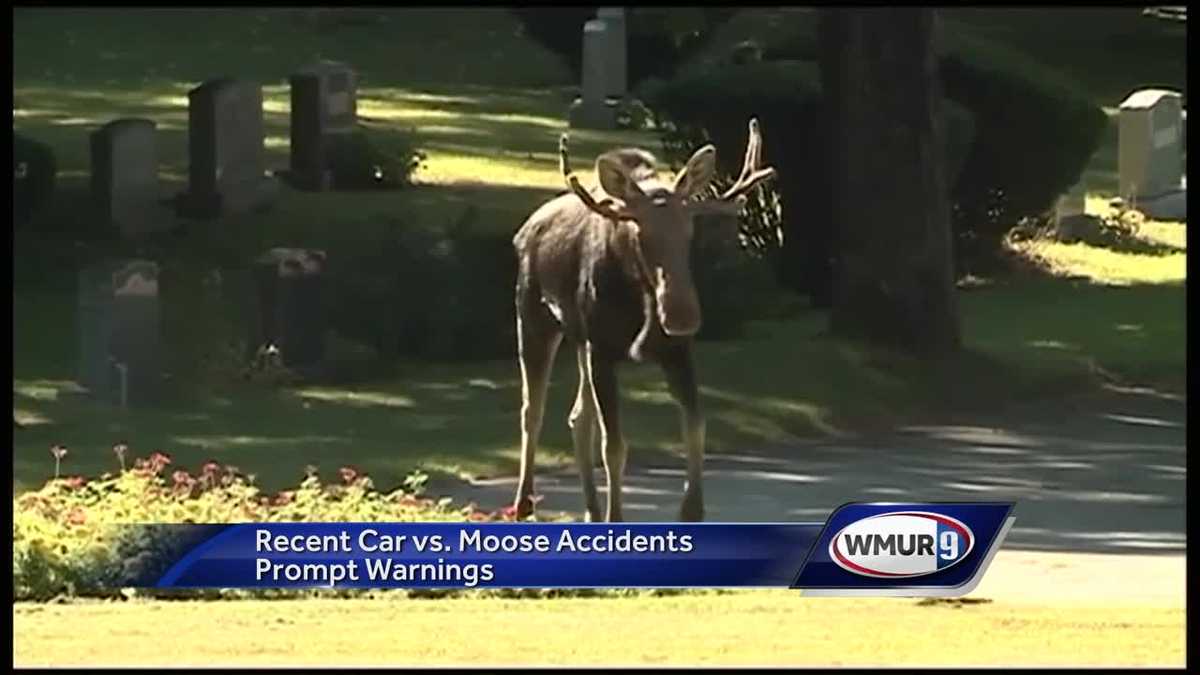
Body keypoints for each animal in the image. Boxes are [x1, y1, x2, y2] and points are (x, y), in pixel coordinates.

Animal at [511, 118, 776, 523]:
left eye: (689, 229)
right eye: (640, 232)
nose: (681, 314)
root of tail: (524, 229)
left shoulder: (676, 351)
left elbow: (696, 425)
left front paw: (692, 509)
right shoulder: (604, 350)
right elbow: (615, 446)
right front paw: (615, 517)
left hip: (580, 340)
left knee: (578, 417)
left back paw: (590, 508)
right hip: (535, 318)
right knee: (532, 409)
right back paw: (524, 502)